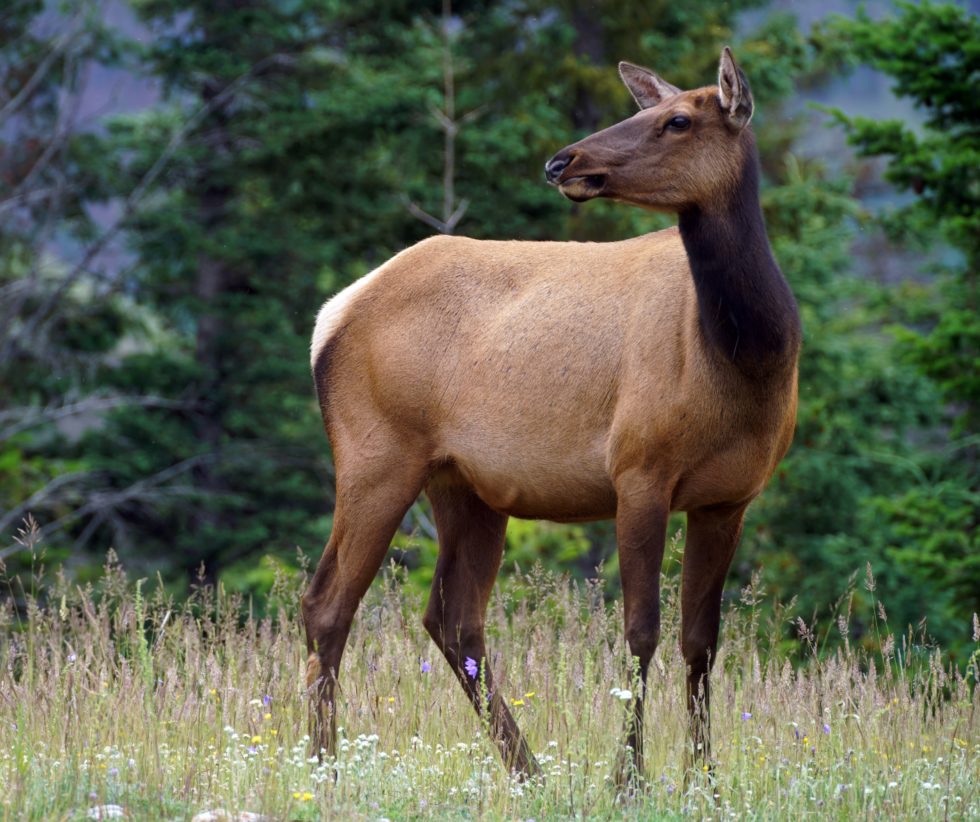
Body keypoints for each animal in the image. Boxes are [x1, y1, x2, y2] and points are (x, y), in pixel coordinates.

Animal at [302, 46, 801, 785]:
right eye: (648, 108)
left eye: (678, 119)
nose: (563, 161)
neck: (747, 362)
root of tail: (329, 318)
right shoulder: (638, 471)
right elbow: (641, 631)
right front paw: (628, 781)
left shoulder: (730, 496)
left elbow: (701, 642)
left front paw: (705, 782)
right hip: (376, 455)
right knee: (327, 604)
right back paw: (324, 767)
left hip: (464, 485)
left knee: (451, 618)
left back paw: (528, 771)